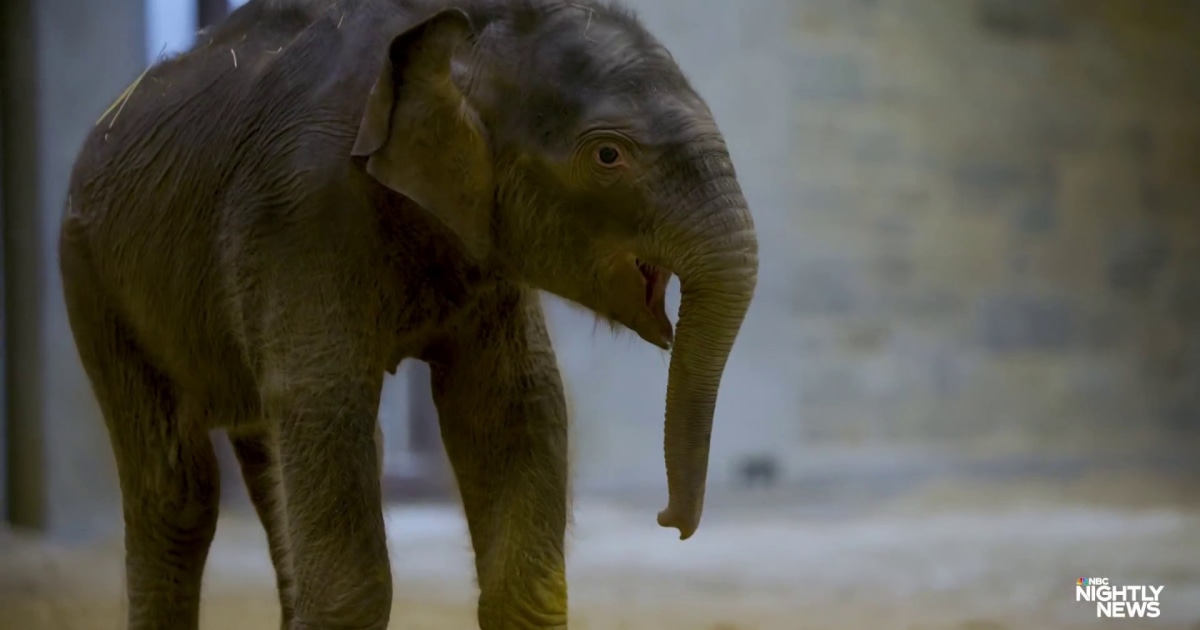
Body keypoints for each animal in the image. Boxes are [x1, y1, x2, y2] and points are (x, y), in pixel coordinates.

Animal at [58, 0, 758, 628]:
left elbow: (514, 405)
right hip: (92, 280)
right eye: (609, 156)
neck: (468, 24)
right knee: (177, 493)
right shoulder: (297, 212)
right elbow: (324, 400)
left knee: (269, 464)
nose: (669, 521)